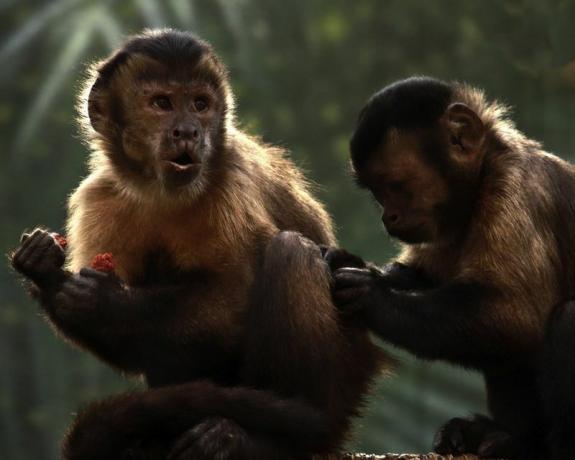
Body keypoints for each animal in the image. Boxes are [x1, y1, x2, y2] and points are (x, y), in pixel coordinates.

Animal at [10, 29, 388, 460]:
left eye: (200, 105)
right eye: (162, 104)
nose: (189, 131)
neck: (159, 192)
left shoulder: (231, 185)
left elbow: (233, 296)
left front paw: (106, 299)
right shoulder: (100, 198)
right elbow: (126, 345)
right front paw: (44, 271)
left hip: (345, 381)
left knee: (291, 252)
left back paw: (269, 436)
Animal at [326, 77, 575, 460]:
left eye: (395, 185)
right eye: (376, 192)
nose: (388, 217)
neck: (484, 174)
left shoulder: (516, 193)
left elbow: (516, 315)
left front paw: (371, 296)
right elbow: (420, 277)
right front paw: (353, 264)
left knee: (565, 320)